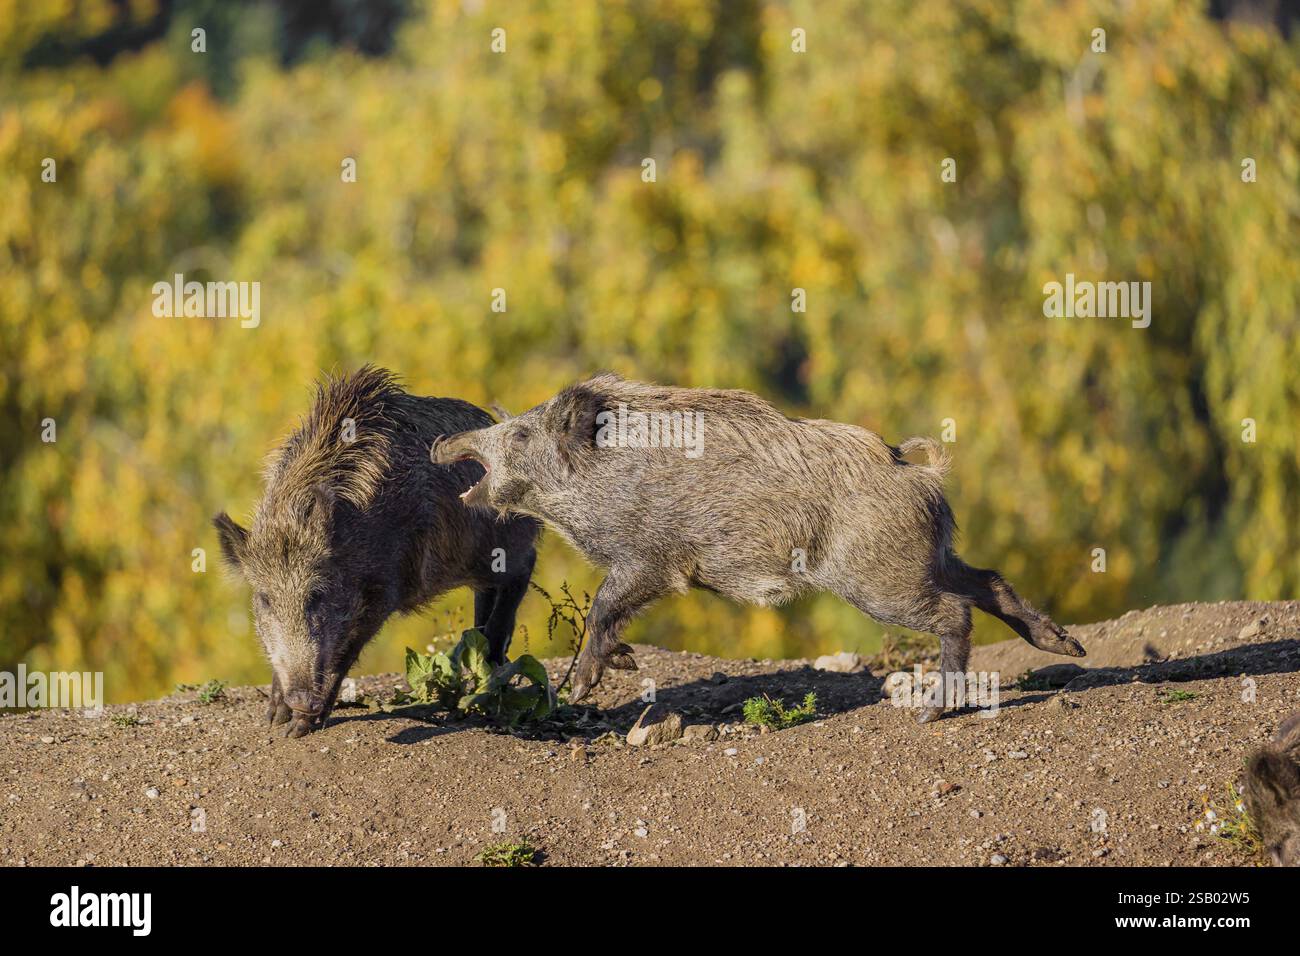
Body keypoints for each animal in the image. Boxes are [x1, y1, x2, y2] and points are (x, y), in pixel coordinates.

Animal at [214, 366, 539, 737]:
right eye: (264, 599)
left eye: (318, 594)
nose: (302, 701)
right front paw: (275, 719)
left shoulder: (386, 588)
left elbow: (346, 650)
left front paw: (299, 727)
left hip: (497, 547)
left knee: (524, 566)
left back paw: (494, 661)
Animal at [432, 373, 1084, 720]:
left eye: (521, 433)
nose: (443, 442)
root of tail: (921, 475)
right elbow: (611, 614)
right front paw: (624, 663)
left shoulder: (651, 558)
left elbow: (603, 606)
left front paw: (584, 685)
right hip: (929, 558)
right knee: (989, 580)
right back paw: (1066, 647)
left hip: (879, 579)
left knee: (956, 610)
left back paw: (930, 710)